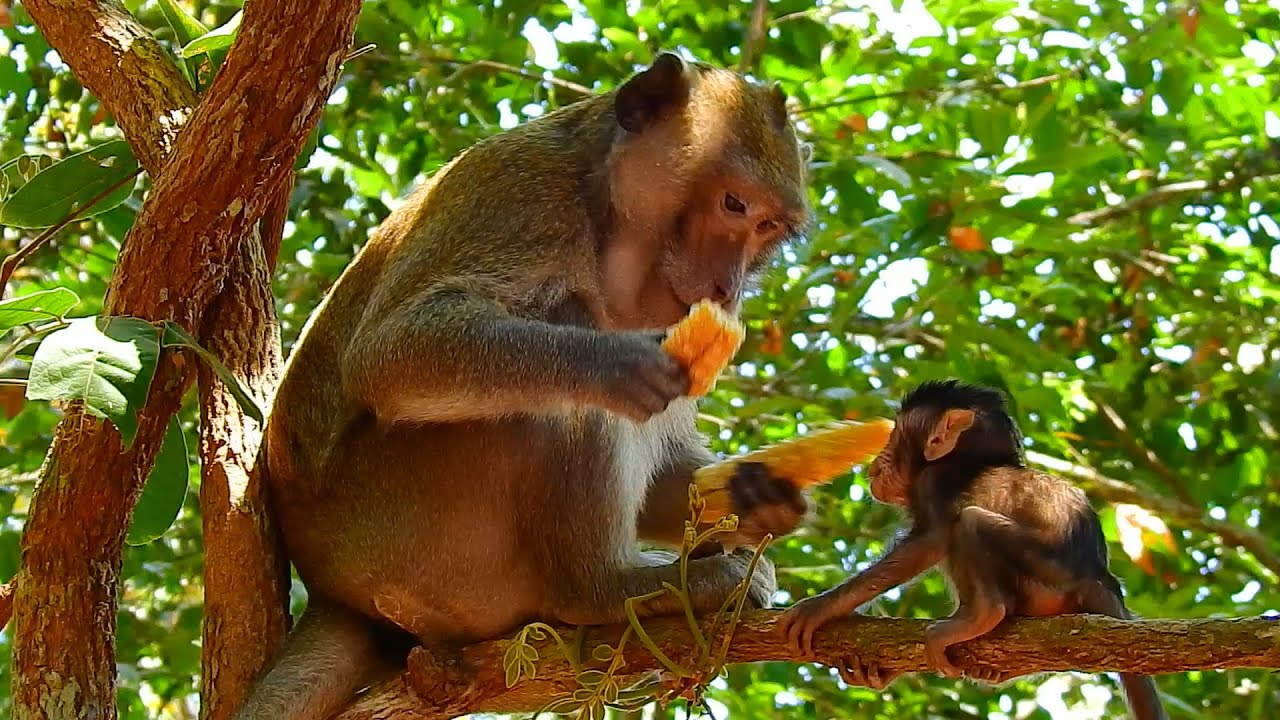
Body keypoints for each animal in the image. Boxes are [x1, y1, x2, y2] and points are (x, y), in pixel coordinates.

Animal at [233, 52, 814, 720]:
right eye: (733, 204)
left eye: (768, 227)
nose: (728, 288)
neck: (603, 219)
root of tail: (333, 593)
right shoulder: (523, 197)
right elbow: (389, 353)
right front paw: (615, 365)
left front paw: (760, 493)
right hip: (403, 530)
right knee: (565, 350)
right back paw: (607, 588)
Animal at [776, 380, 1168, 720]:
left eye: (893, 439)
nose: (874, 466)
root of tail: (1099, 577)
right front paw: (871, 669)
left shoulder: (932, 481)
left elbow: (929, 542)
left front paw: (820, 608)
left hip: (1051, 576)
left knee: (969, 522)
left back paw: (984, 614)